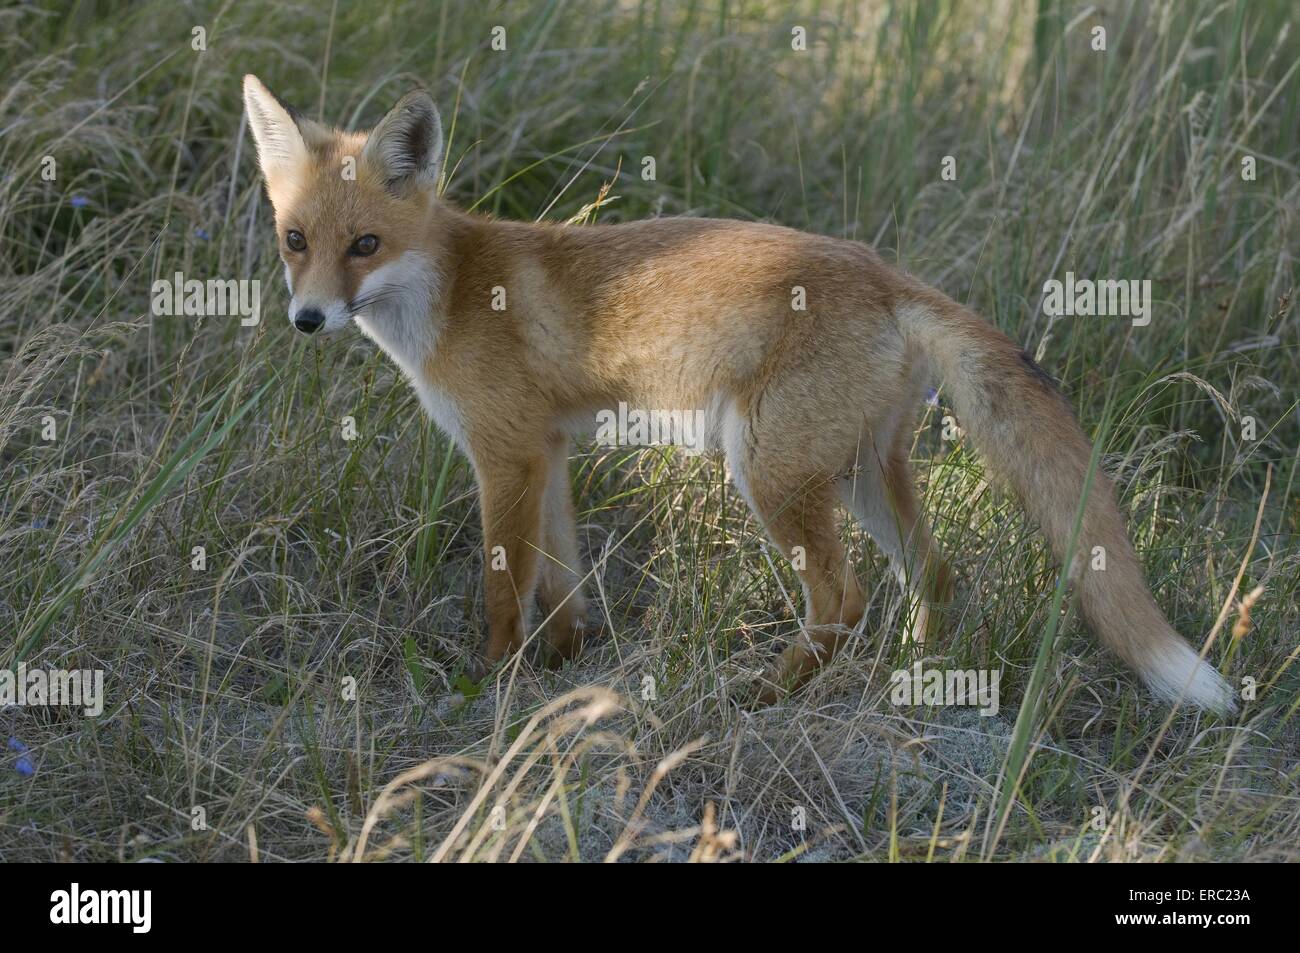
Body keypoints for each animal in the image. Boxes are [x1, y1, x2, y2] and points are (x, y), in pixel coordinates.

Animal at [241, 74, 1236, 714]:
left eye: (365, 244)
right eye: (296, 240)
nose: (308, 319)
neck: (448, 296)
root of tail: (887, 274)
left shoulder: (507, 455)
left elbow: (502, 589)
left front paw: (489, 685)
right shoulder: (549, 452)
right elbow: (562, 585)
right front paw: (562, 667)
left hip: (768, 472)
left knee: (843, 598)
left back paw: (768, 691)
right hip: (861, 471)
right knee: (938, 572)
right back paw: (917, 678)